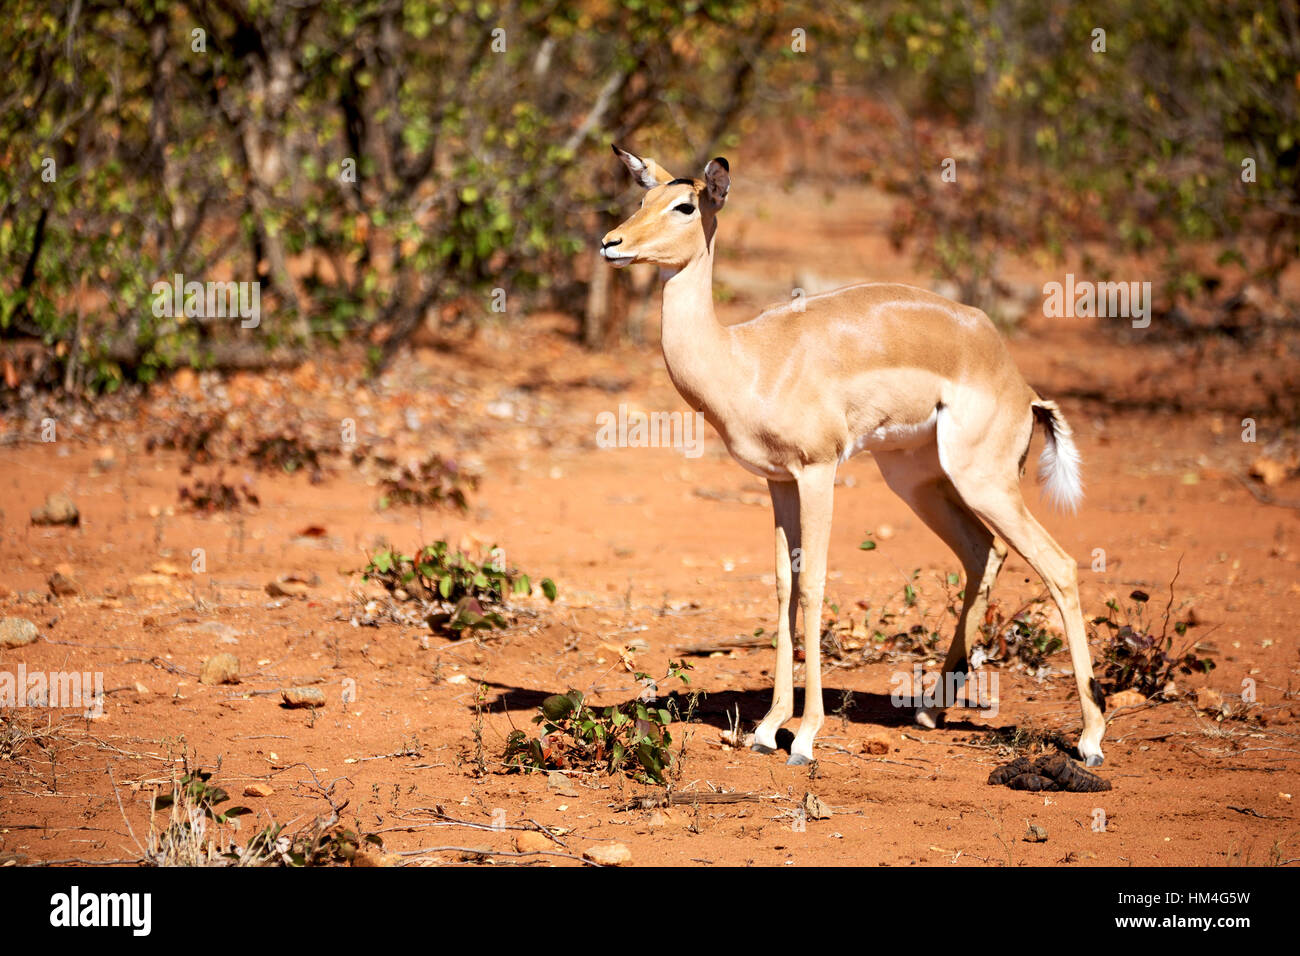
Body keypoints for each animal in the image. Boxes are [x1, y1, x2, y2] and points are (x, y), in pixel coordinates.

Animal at [600, 144, 1107, 768]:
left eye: (685, 205)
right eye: (642, 197)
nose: (612, 242)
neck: (747, 360)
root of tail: (1021, 385)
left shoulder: (818, 472)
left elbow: (815, 585)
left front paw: (804, 738)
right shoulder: (778, 482)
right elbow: (784, 587)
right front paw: (768, 727)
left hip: (983, 482)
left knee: (1058, 565)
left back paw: (1090, 739)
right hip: (917, 482)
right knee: (983, 553)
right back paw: (930, 709)